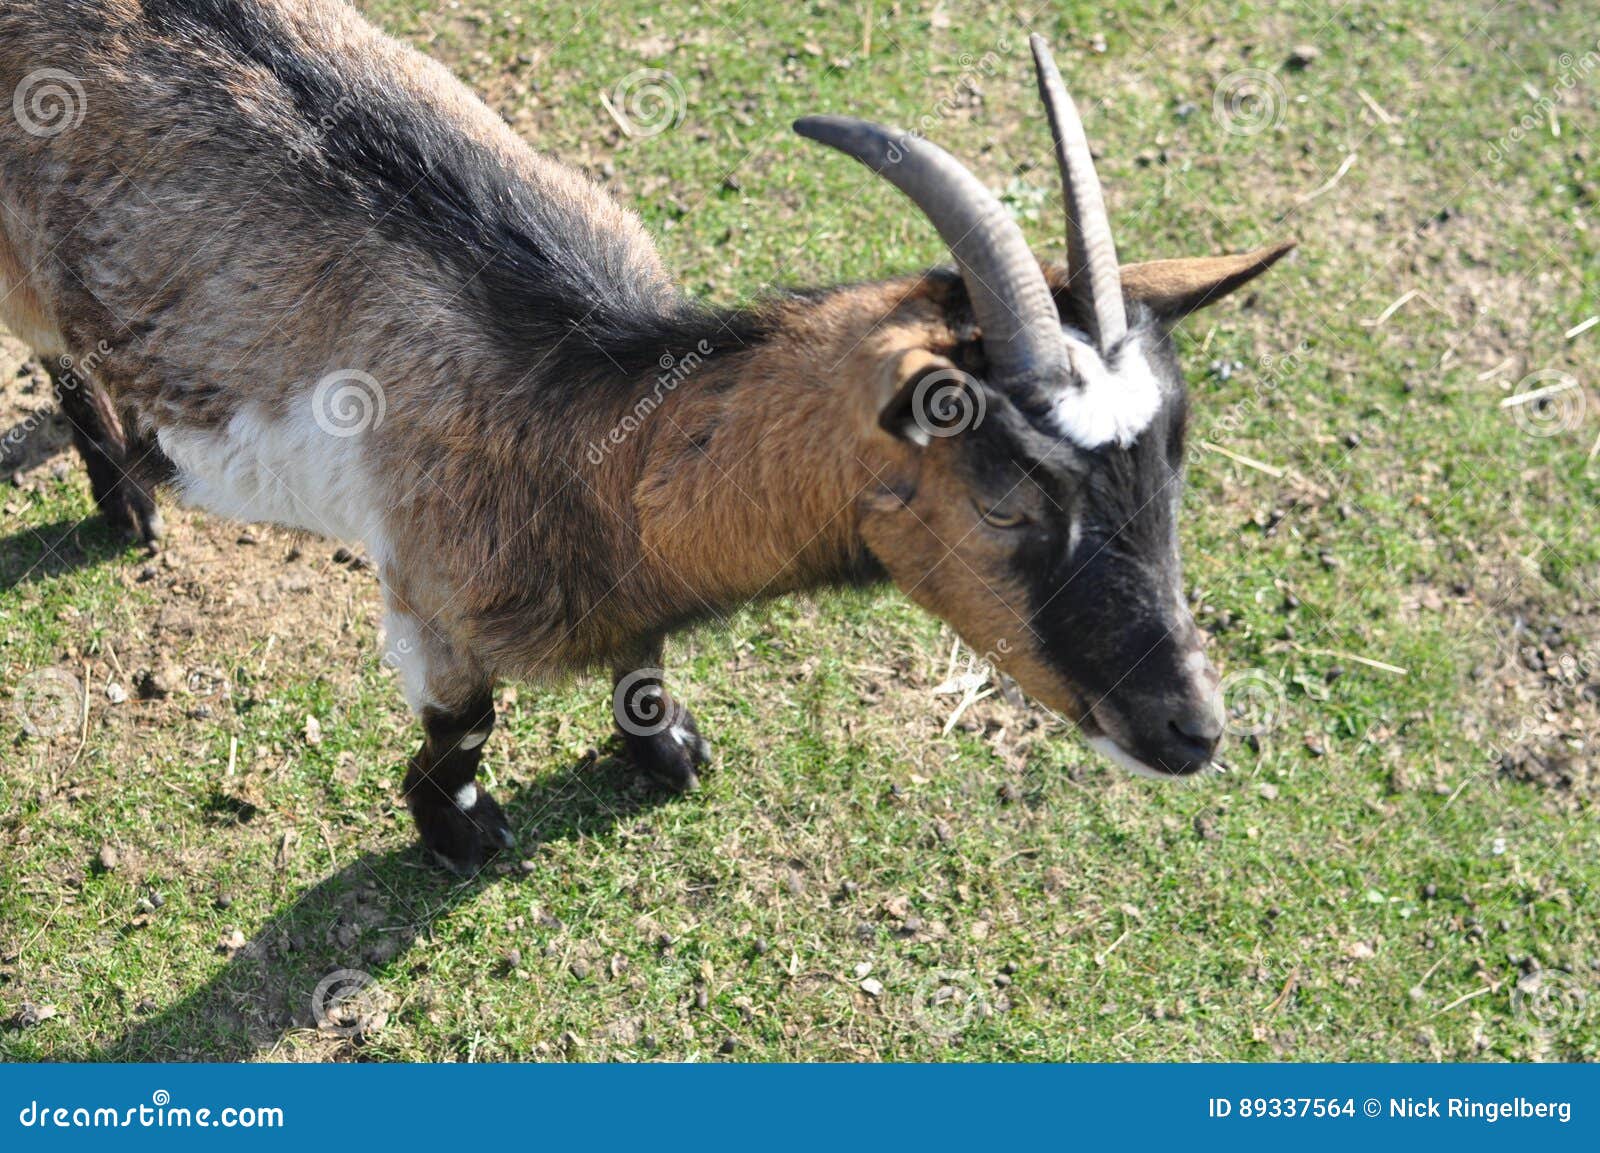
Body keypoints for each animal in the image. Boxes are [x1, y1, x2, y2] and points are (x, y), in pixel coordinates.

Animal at [1, 1, 1292, 872]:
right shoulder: (435, 596)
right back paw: (125, 495)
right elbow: (464, 724)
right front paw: (456, 831)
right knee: (55, 349)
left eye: (1171, 469)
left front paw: (662, 745)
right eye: (1006, 498)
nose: (1189, 730)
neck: (591, 415)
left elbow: (646, 654)